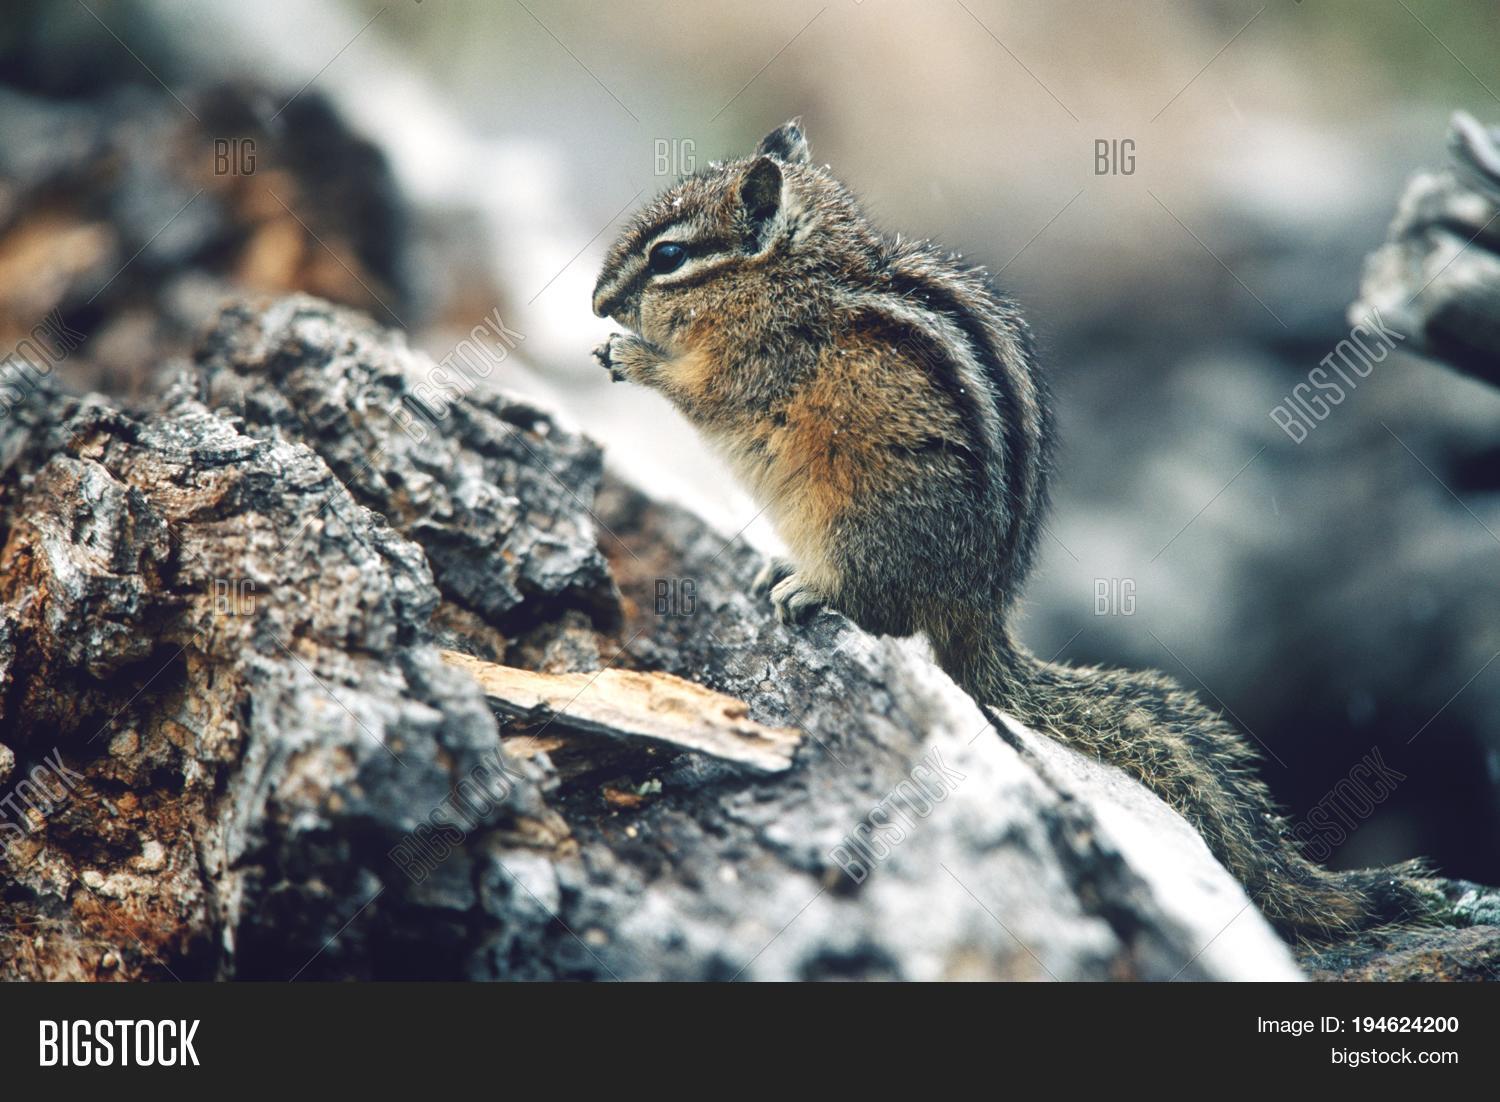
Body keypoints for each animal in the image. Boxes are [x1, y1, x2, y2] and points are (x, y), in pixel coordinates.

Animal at [590, 119, 1440, 941]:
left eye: (668, 255)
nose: (597, 301)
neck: (792, 274)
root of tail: (980, 611)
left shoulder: (756, 361)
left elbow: (702, 391)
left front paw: (631, 356)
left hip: (860, 522)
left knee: (881, 610)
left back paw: (810, 589)